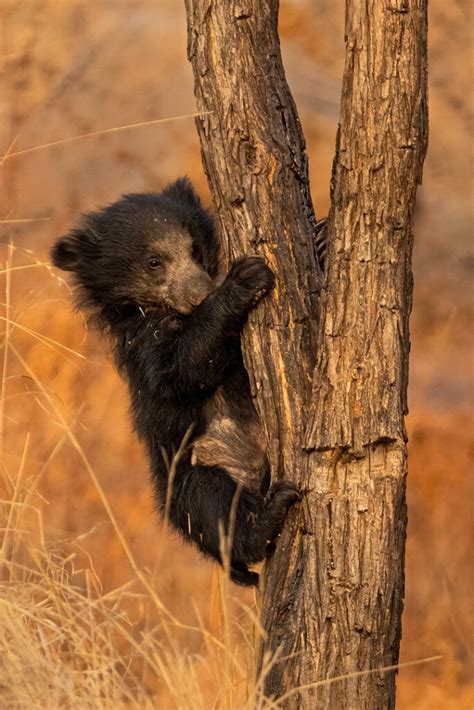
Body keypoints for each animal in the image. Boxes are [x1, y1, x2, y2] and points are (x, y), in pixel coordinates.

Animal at [51, 177, 300, 586]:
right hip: (192, 469)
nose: (200, 293)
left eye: (196, 249)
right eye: (154, 262)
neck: (169, 312)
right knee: (214, 508)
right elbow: (184, 369)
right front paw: (245, 278)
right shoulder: (144, 345)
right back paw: (267, 516)